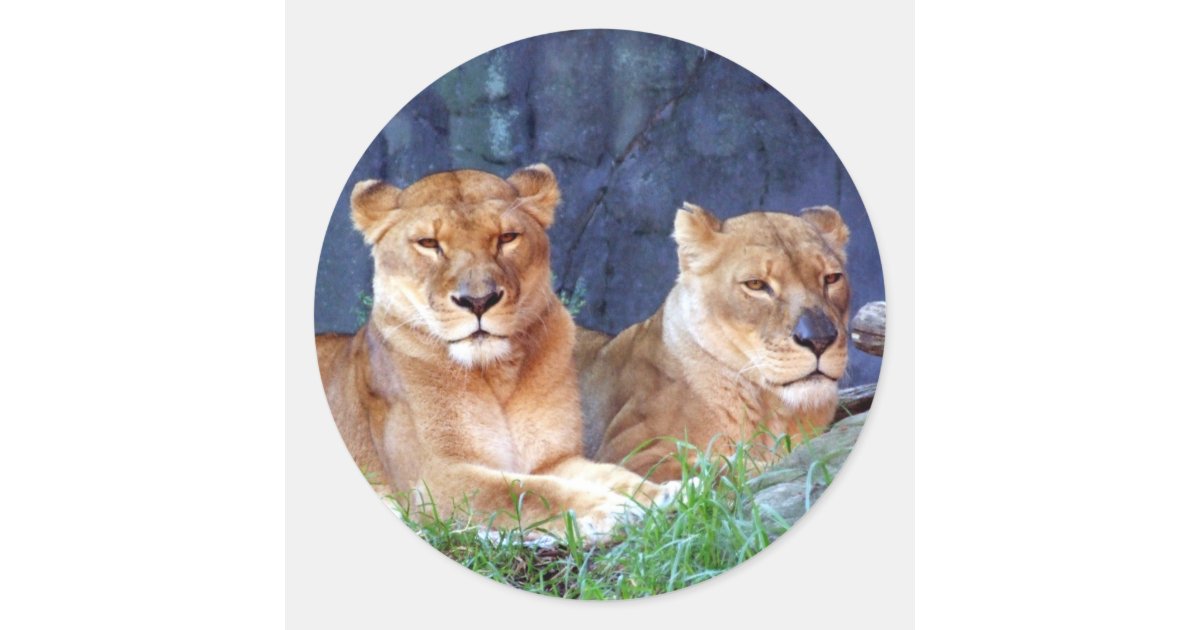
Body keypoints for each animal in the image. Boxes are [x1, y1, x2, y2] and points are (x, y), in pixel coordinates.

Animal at [316, 165, 679, 543]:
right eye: (429, 243)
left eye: (507, 237)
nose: (478, 300)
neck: (496, 373)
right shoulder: (435, 481)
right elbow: (525, 492)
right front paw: (611, 509)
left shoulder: (553, 460)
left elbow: (610, 474)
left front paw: (665, 494)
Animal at [574, 203, 852, 482]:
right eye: (755, 284)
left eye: (831, 278)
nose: (819, 339)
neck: (773, 407)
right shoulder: (628, 454)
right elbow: (726, 467)